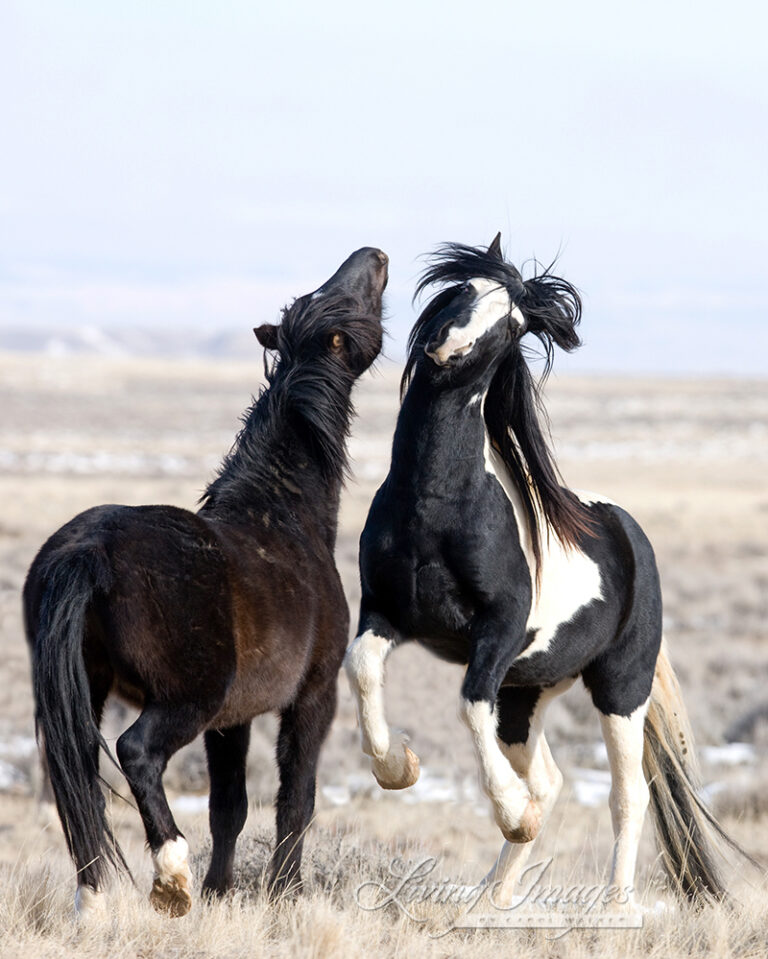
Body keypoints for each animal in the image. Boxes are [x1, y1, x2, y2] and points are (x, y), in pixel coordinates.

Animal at [24, 246, 388, 919]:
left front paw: (223, 891)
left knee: (77, 773)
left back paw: (95, 901)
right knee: (135, 753)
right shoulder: (313, 697)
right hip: (186, 700)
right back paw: (172, 877)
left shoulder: (231, 720)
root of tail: (88, 549)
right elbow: (296, 800)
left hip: (90, 688)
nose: (373, 255)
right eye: (346, 304)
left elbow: (230, 807)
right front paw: (283, 893)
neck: (284, 514)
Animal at [344, 235, 742, 908]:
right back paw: (491, 893)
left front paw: (507, 809)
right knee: (552, 783)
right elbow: (363, 670)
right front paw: (399, 768)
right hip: (527, 692)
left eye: (513, 325)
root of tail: (628, 534)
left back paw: (613, 904)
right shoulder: (384, 611)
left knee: (627, 797)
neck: (437, 502)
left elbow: (467, 705)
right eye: (465, 289)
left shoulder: (497, 632)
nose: (447, 350)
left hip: (618, 690)